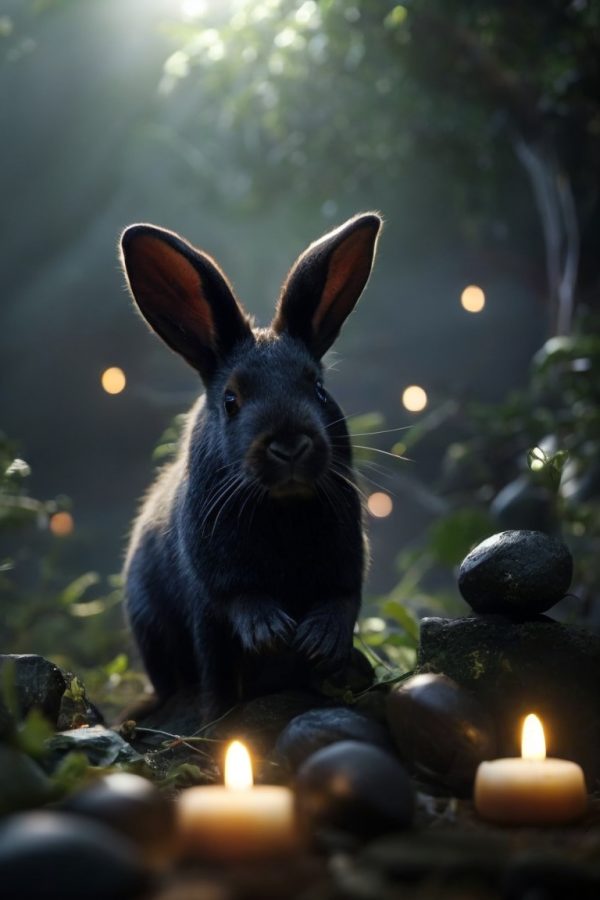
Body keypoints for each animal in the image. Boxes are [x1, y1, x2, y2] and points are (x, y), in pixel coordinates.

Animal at [119, 212, 382, 719]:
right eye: (231, 400)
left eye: (317, 388)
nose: (290, 445)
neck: (282, 509)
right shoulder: (213, 596)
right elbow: (240, 606)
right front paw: (273, 633)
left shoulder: (345, 567)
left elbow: (341, 603)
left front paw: (316, 641)